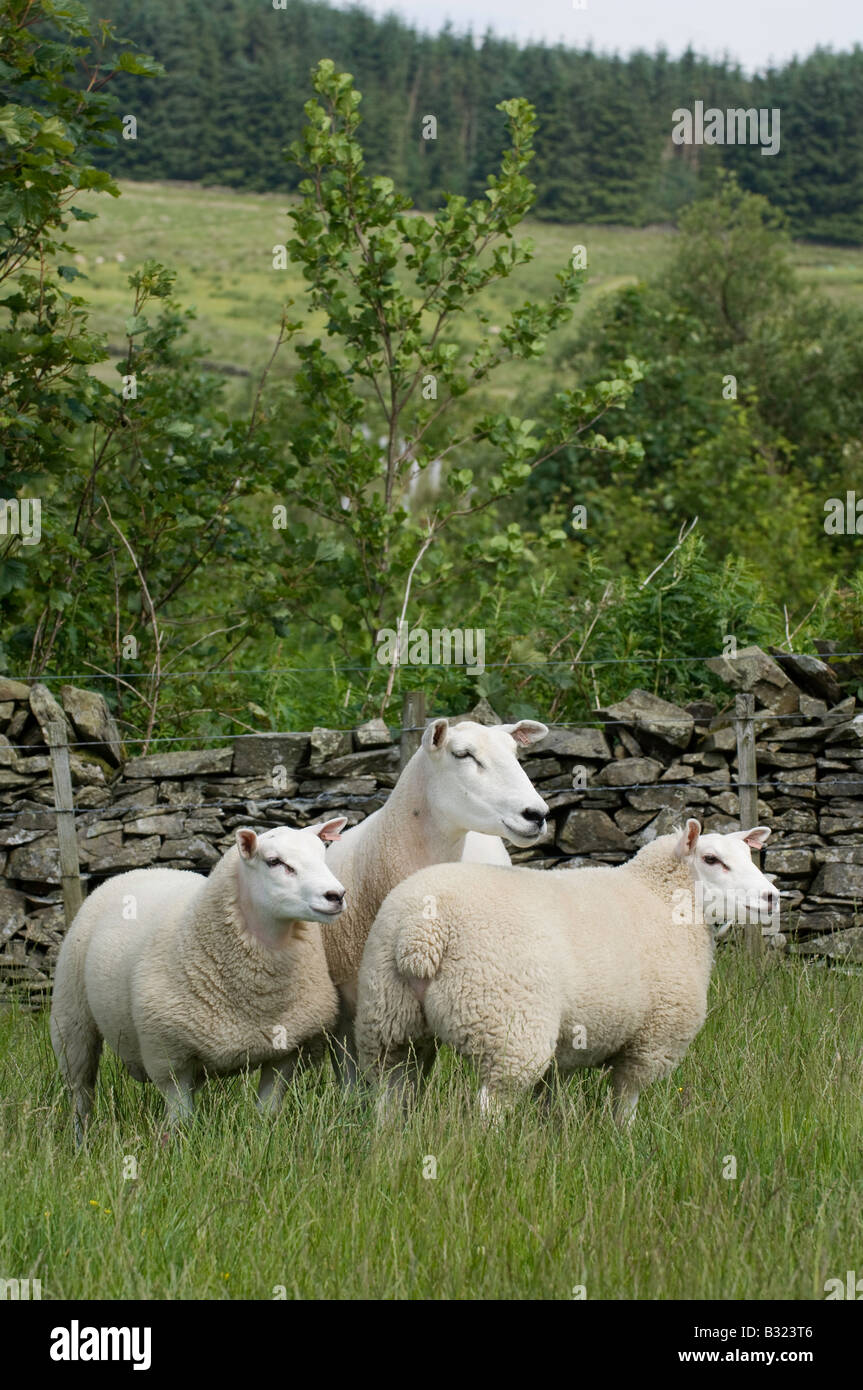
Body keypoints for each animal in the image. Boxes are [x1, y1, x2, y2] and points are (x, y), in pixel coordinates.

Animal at [50, 820, 347, 1140]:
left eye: (322, 854)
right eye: (275, 862)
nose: (336, 895)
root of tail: (143, 869)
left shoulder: (287, 1052)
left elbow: (266, 1113)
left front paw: (260, 1138)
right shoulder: (168, 1057)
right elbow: (181, 1121)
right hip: (72, 1020)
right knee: (81, 1091)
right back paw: (80, 1139)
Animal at [355, 820, 778, 1126]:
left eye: (749, 855)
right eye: (711, 859)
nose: (772, 897)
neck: (662, 898)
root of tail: (421, 931)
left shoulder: (568, 1048)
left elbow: (549, 1099)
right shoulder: (651, 1040)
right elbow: (625, 1102)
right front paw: (624, 1142)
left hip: (388, 1021)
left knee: (390, 1096)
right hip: (508, 1027)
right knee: (490, 1107)